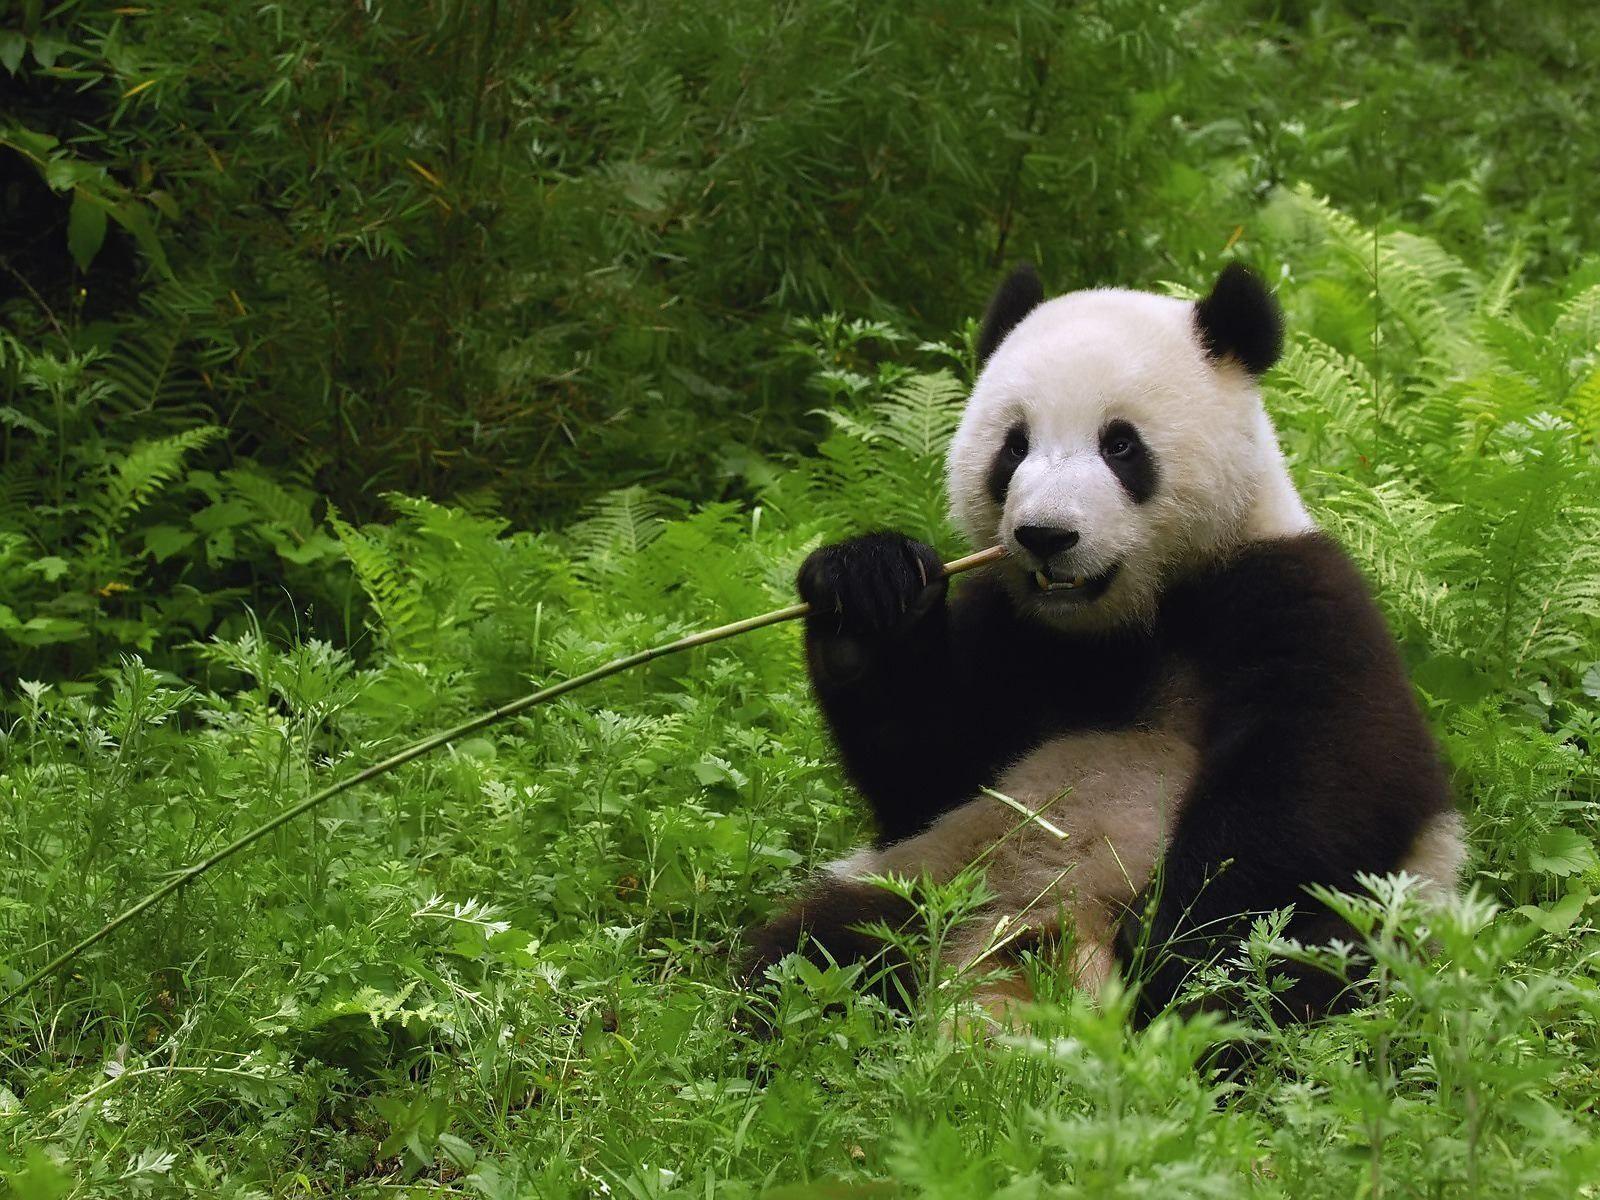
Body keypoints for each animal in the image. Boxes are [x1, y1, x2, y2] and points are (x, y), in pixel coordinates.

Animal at [741, 262, 1464, 1027]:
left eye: (1120, 445)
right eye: (1014, 447)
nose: (1045, 536)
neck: (1121, 623)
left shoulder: (1292, 593)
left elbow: (1326, 778)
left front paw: (1166, 937)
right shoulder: (1008, 628)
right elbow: (925, 770)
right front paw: (868, 590)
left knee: (1291, 967)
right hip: (935, 877)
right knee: (816, 951)